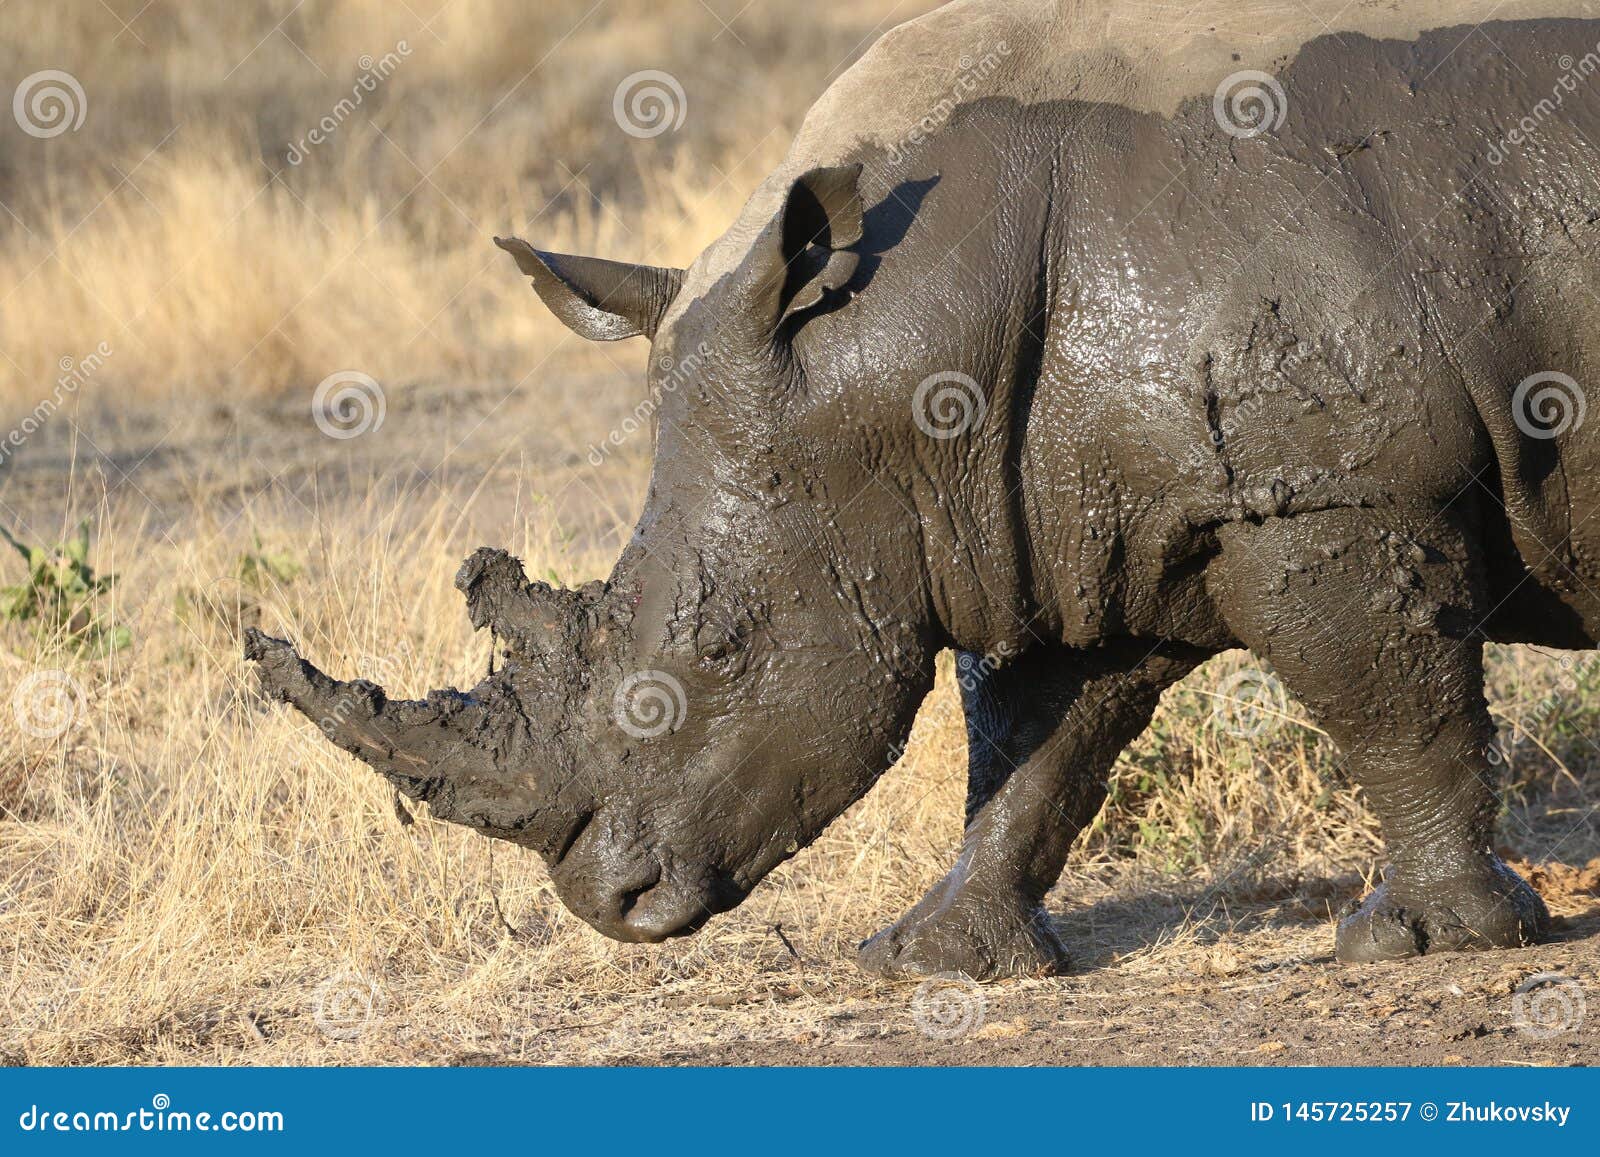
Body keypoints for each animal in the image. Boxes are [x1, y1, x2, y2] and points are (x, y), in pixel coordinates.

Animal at [247, 0, 1600, 979]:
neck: (913, 332)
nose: (605, 900)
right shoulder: (1055, 506)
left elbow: (1389, 701)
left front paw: (1417, 940)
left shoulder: (1328, 488)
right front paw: (928, 960)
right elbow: (1033, 740)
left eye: (722, 654)